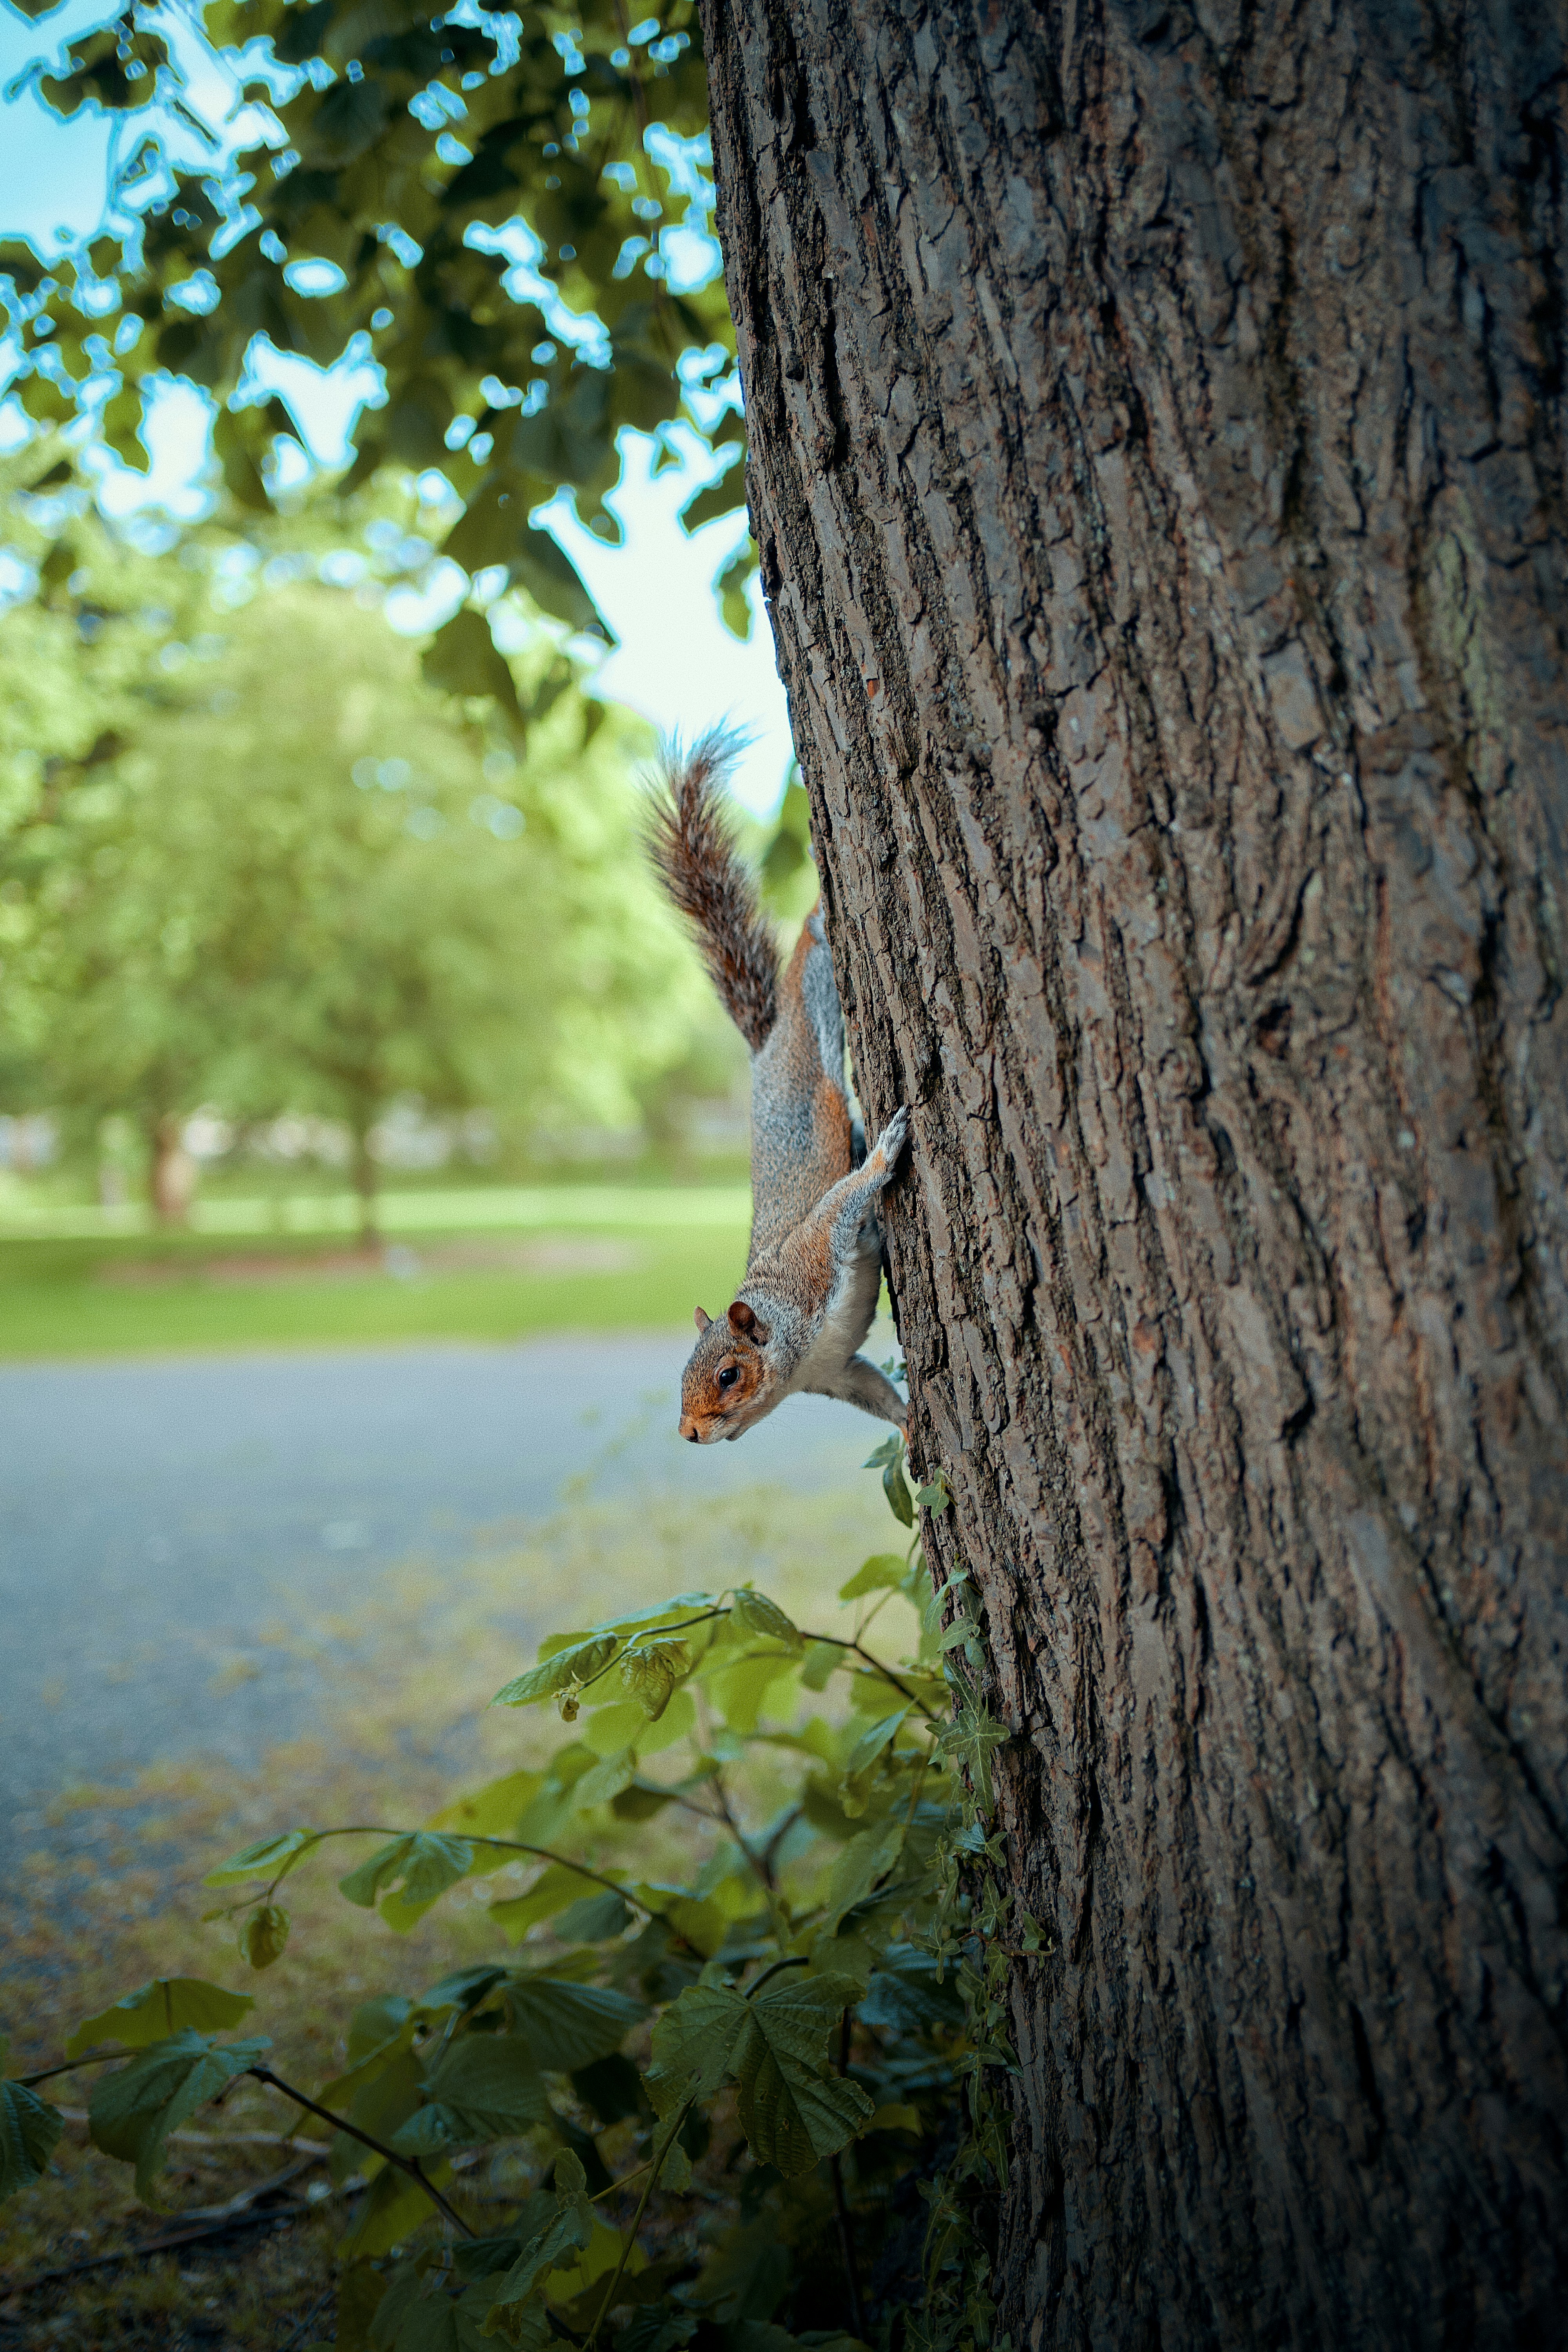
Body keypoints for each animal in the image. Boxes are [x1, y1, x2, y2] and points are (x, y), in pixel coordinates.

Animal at [647, 728, 909, 1444]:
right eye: (684, 1376)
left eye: (728, 1375)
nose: (689, 1434)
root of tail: (766, 1050)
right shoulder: (837, 1373)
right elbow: (877, 1394)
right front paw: (912, 1435)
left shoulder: (817, 1256)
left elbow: (845, 1200)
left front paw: (885, 1154)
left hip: (814, 1028)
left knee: (810, 965)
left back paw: (819, 912)